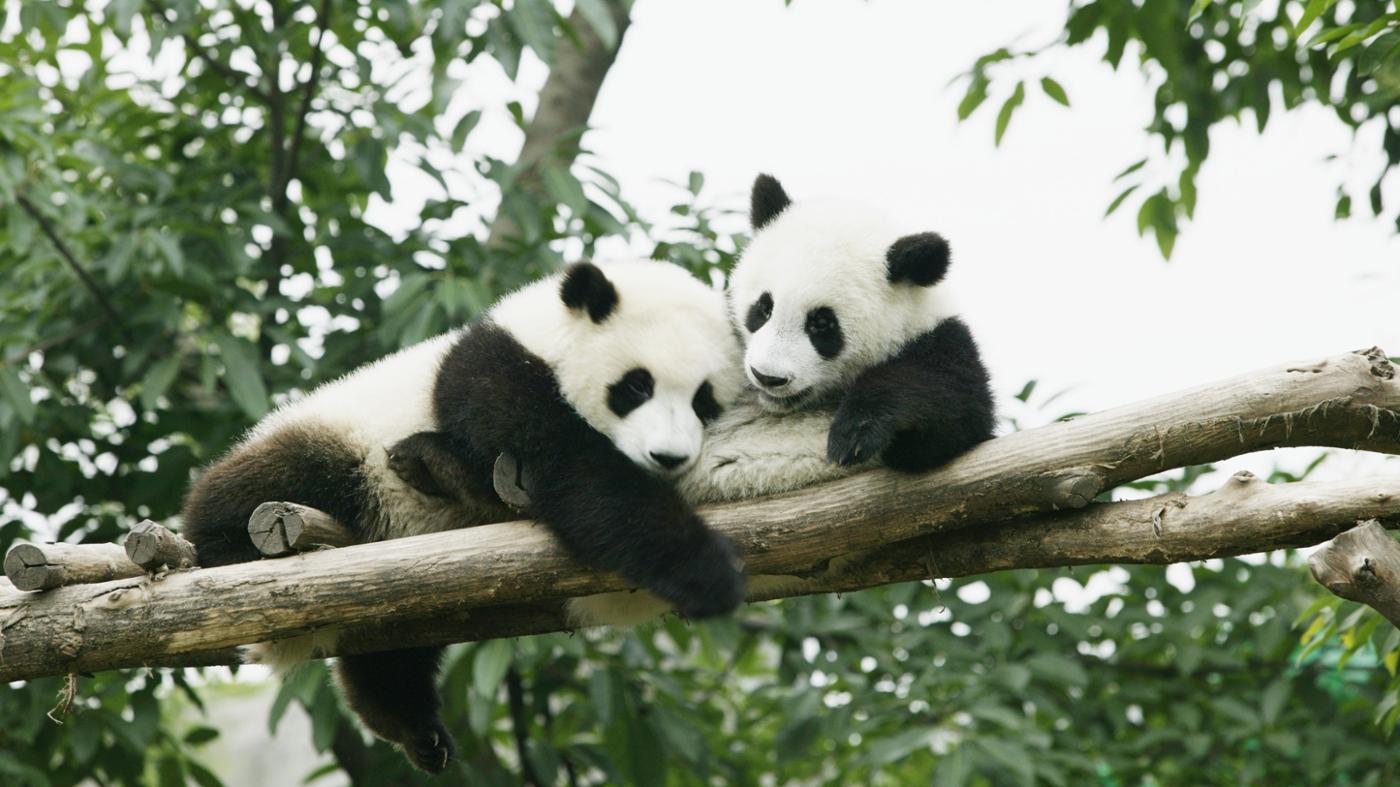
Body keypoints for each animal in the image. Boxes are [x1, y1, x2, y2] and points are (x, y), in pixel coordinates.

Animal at [180, 259, 747, 773]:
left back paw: (412, 726)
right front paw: (708, 572)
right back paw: (229, 544)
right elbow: (579, 474)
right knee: (263, 484)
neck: (545, 337)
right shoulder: (496, 376)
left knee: (392, 652)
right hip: (337, 447)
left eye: (704, 401)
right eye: (636, 387)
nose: (668, 457)